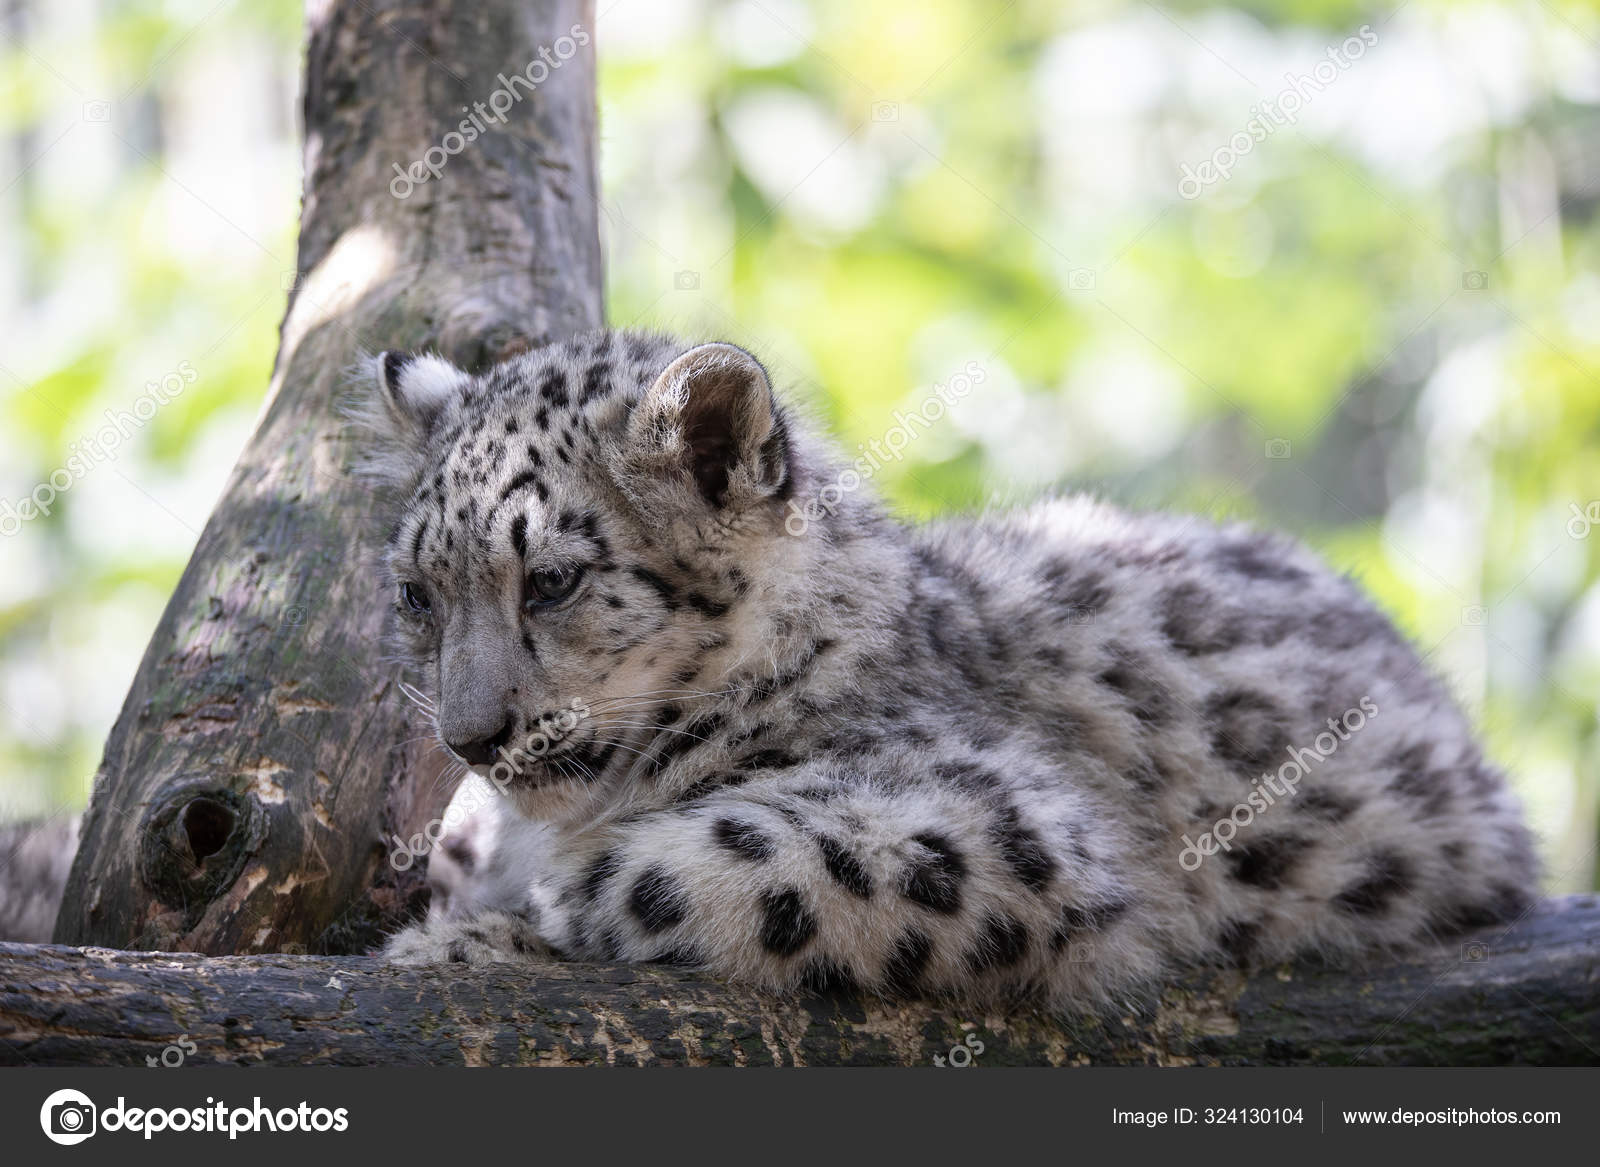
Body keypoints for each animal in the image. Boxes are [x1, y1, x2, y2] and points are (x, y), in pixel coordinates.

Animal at [357, 328, 1538, 1011]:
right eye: (417, 593)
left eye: (551, 580)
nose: (470, 737)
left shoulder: (991, 828)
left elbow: (684, 866)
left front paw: (489, 931)